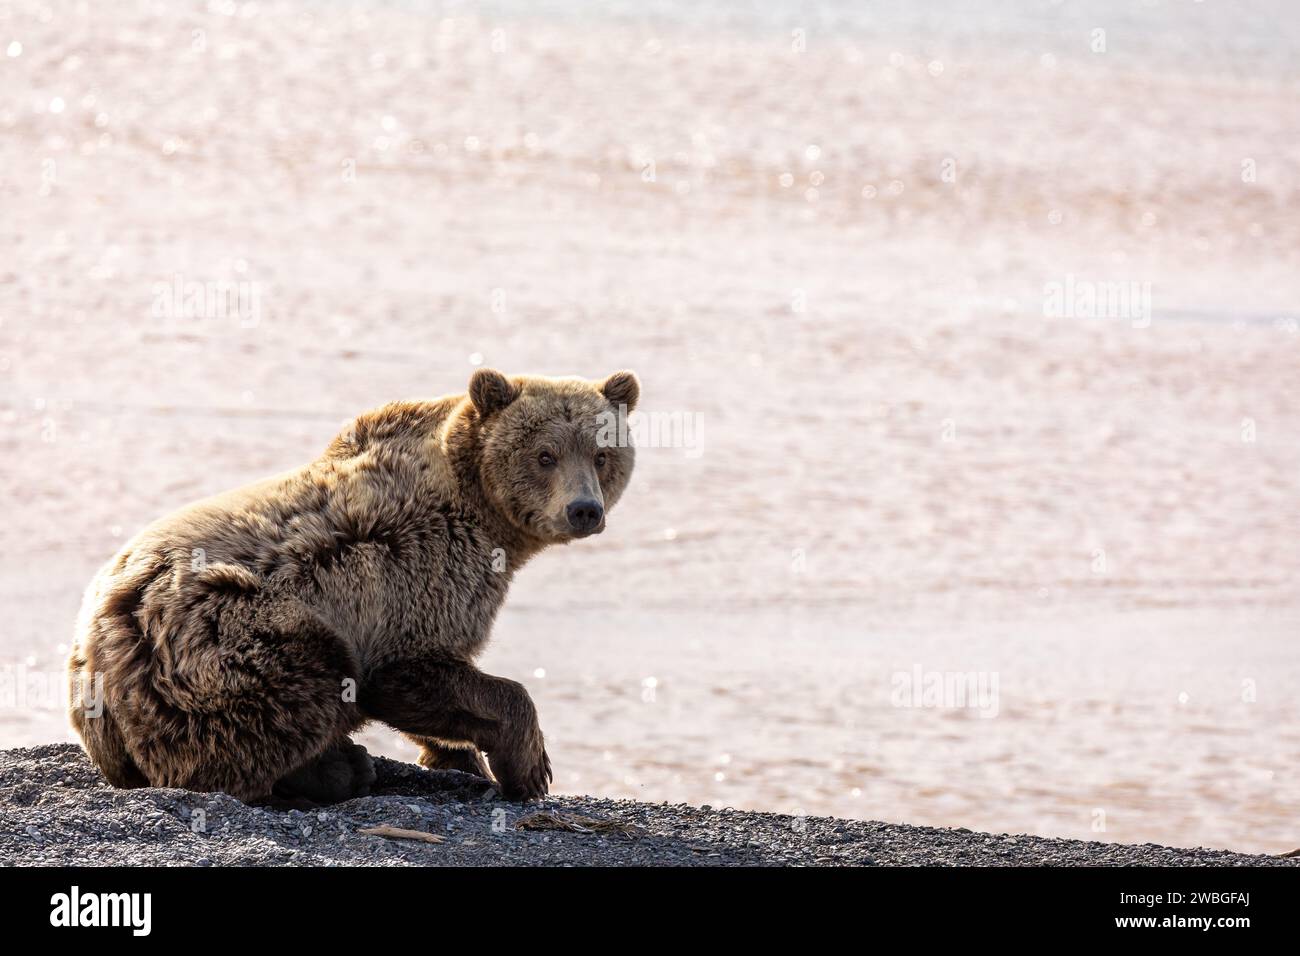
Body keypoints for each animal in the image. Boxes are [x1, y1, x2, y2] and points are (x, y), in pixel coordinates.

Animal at [66, 368, 639, 804]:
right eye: (544, 455)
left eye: (601, 455)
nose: (583, 509)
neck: (483, 511)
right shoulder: (416, 571)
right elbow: (406, 673)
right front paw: (530, 767)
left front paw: (458, 754)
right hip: (221, 639)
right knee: (296, 687)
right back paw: (337, 770)